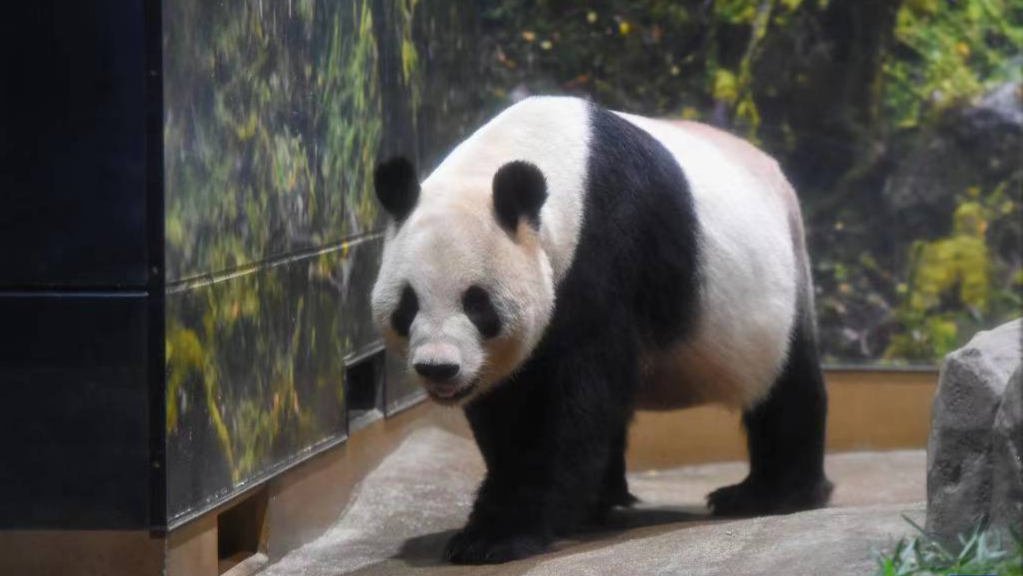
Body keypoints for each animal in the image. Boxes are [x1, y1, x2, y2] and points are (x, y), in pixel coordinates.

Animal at [370, 96, 832, 564]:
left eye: (477, 304)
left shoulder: (606, 246)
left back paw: (769, 494)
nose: (438, 368)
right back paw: (600, 504)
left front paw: (494, 536)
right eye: (408, 306)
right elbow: (510, 403)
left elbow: (574, 400)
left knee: (787, 389)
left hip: (773, 297)